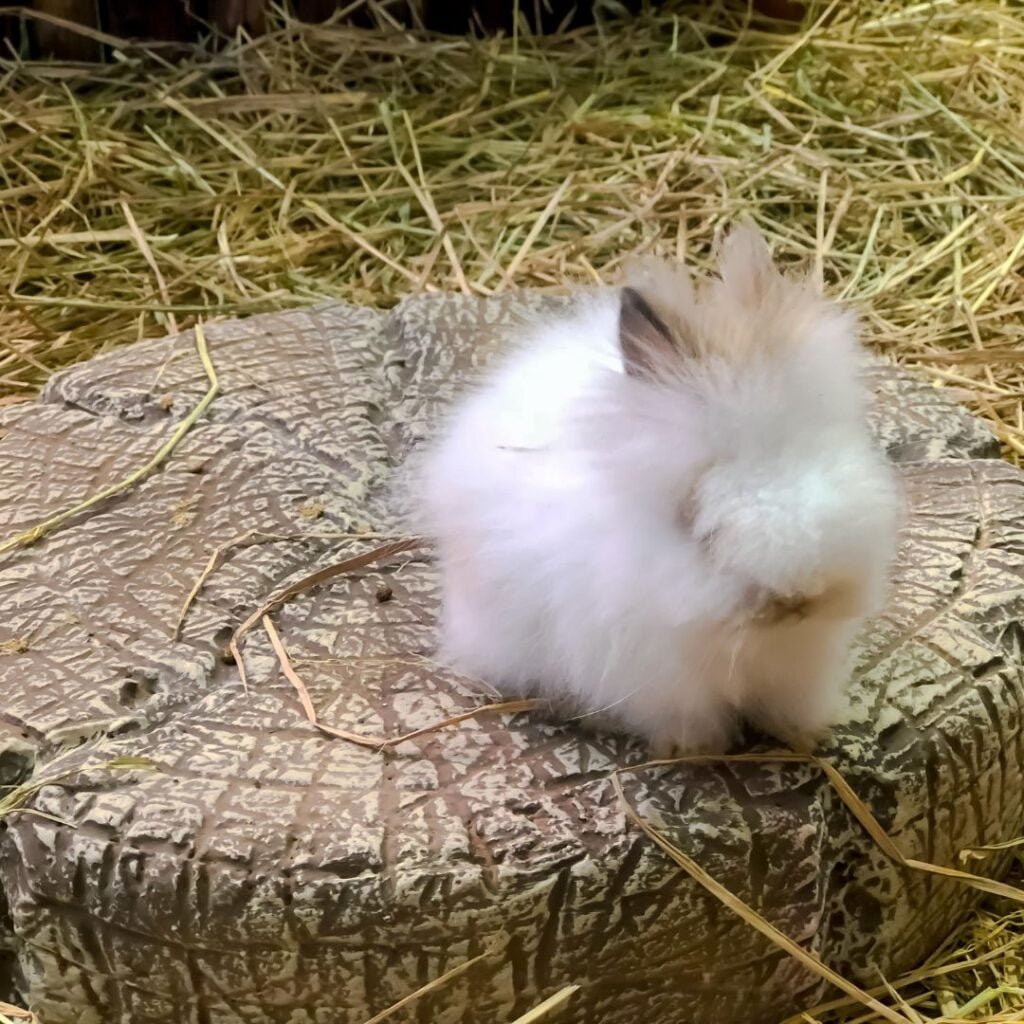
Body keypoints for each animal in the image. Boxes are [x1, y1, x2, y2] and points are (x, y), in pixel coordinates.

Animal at [414, 224, 902, 755]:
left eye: (823, 462)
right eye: (696, 520)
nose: (797, 602)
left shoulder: (800, 670)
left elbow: (789, 708)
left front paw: (804, 738)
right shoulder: (660, 682)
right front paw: (698, 751)